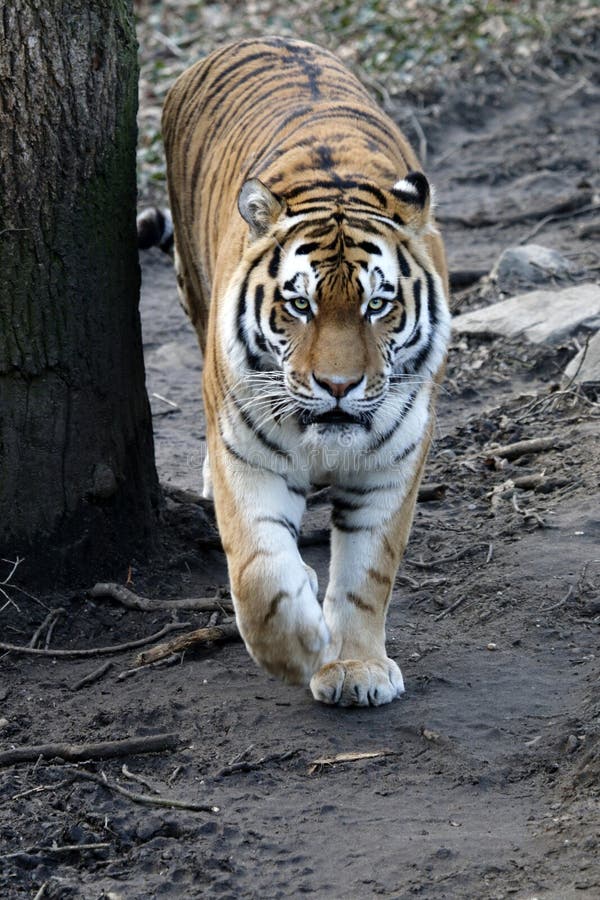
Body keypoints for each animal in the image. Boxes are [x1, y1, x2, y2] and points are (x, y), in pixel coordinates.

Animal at [139, 36, 451, 706]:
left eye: (377, 305)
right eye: (300, 304)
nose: (338, 387)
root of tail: (255, 35)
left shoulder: (393, 462)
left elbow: (367, 572)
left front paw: (355, 667)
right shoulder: (246, 454)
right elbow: (258, 571)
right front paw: (302, 647)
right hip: (192, 291)